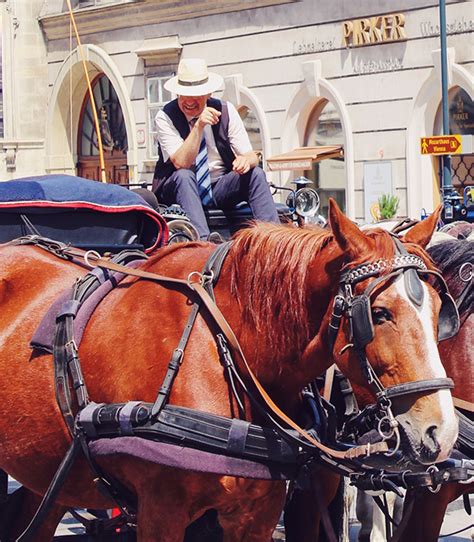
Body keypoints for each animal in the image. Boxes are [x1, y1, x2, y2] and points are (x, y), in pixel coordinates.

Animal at [0, 202, 460, 540]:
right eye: (378, 313)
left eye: (441, 310)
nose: (441, 432)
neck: (220, 345)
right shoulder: (160, 512)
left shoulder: (256, 513)